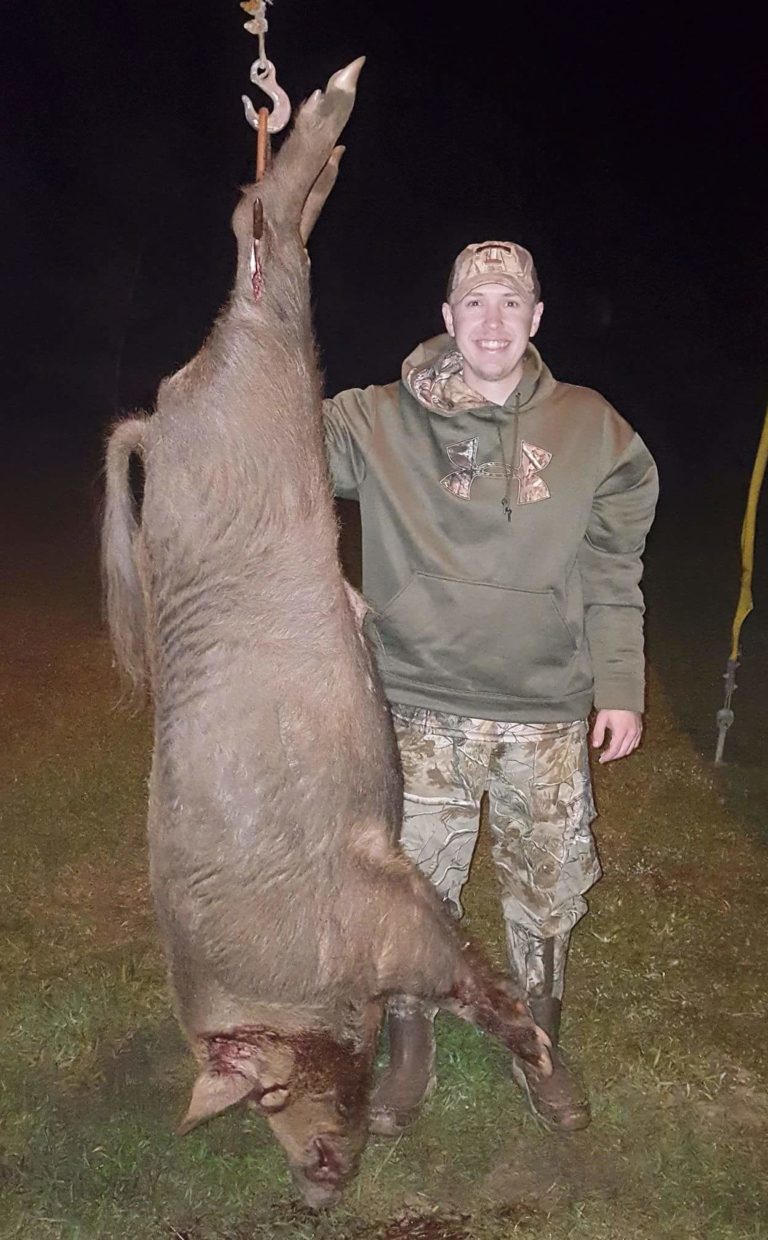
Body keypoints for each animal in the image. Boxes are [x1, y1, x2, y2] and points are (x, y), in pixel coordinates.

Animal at [101, 57, 551, 1209]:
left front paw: (551, 1078)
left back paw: (333, 102)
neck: (293, 965)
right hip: (265, 346)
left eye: (263, 1093)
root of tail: (168, 406)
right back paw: (332, 121)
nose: (309, 1193)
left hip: (261, 372)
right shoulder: (385, 905)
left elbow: (465, 976)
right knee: (263, 222)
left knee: (264, 213)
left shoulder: (384, 911)